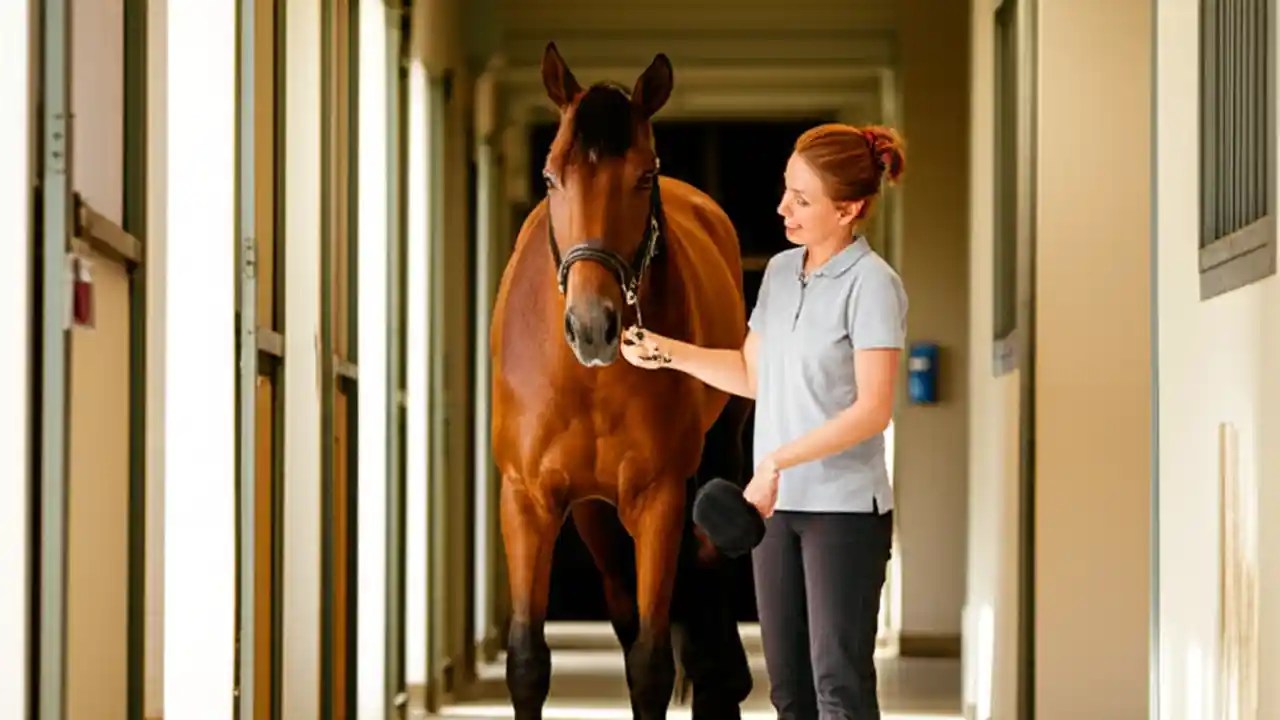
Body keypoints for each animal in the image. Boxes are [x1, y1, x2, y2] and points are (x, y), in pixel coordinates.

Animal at [489, 43, 755, 719]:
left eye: (641, 176)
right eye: (550, 177)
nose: (593, 326)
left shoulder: (659, 498)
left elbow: (652, 664)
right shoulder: (527, 500)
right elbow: (527, 663)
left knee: (708, 568)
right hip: (593, 516)